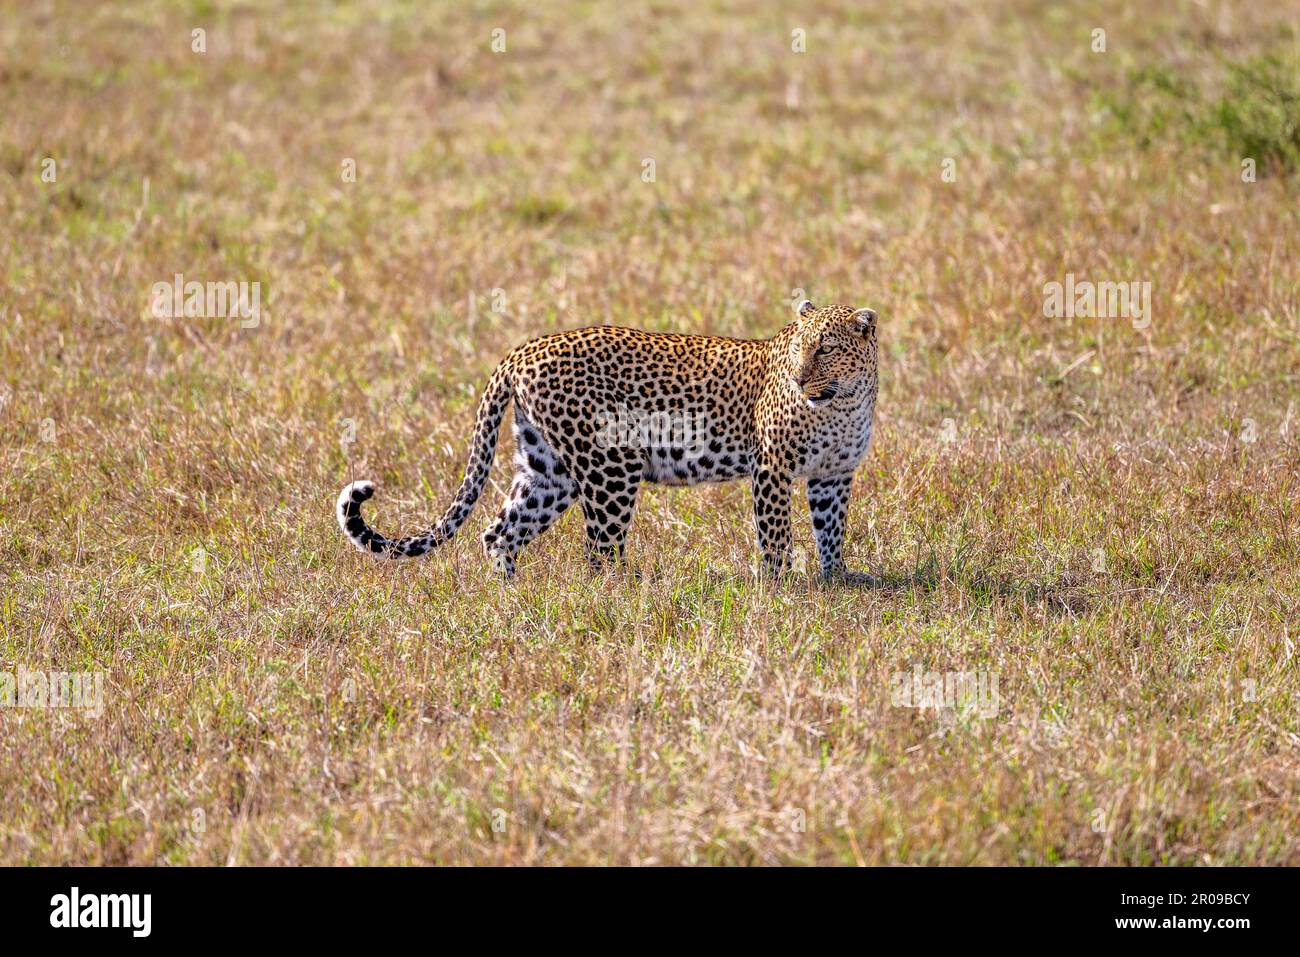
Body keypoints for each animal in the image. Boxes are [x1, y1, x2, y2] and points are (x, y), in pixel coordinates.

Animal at [336, 299, 879, 582]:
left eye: (825, 349)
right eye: (798, 348)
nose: (797, 378)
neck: (842, 403)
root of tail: (521, 350)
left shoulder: (833, 475)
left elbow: (831, 529)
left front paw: (837, 579)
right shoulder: (771, 468)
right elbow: (776, 534)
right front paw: (780, 587)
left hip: (549, 471)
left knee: (499, 531)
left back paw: (509, 594)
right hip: (610, 467)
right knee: (599, 553)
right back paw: (626, 597)